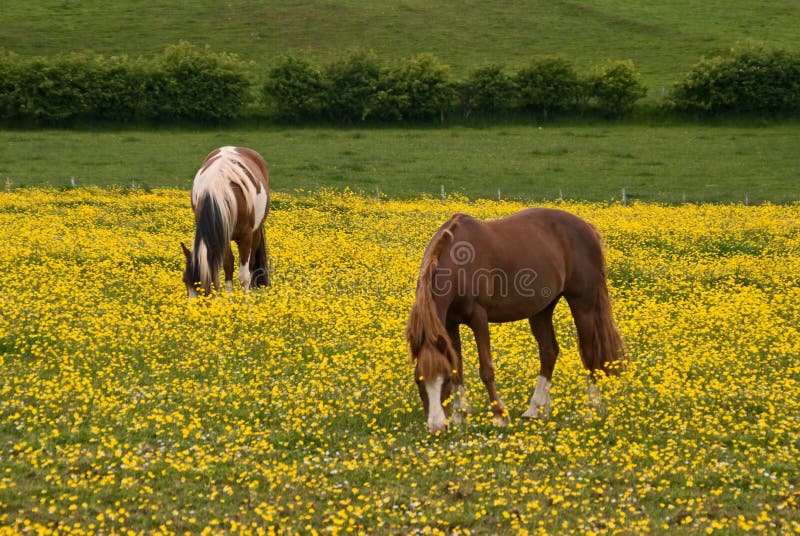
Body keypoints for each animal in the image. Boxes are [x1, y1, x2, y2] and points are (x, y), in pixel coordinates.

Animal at [181, 146, 271, 298]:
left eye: (204, 286)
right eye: (184, 281)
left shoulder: (246, 237)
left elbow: (244, 275)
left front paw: (245, 300)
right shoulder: (224, 235)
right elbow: (228, 265)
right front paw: (228, 298)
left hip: (256, 232)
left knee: (252, 263)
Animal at [405, 207, 626, 433]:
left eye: (445, 380)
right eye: (418, 381)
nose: (436, 428)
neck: (459, 266)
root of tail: (587, 227)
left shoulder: (478, 317)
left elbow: (486, 370)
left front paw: (499, 416)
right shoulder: (450, 324)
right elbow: (458, 367)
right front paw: (460, 417)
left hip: (583, 303)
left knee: (589, 354)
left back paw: (592, 409)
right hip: (542, 309)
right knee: (549, 352)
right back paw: (535, 409)